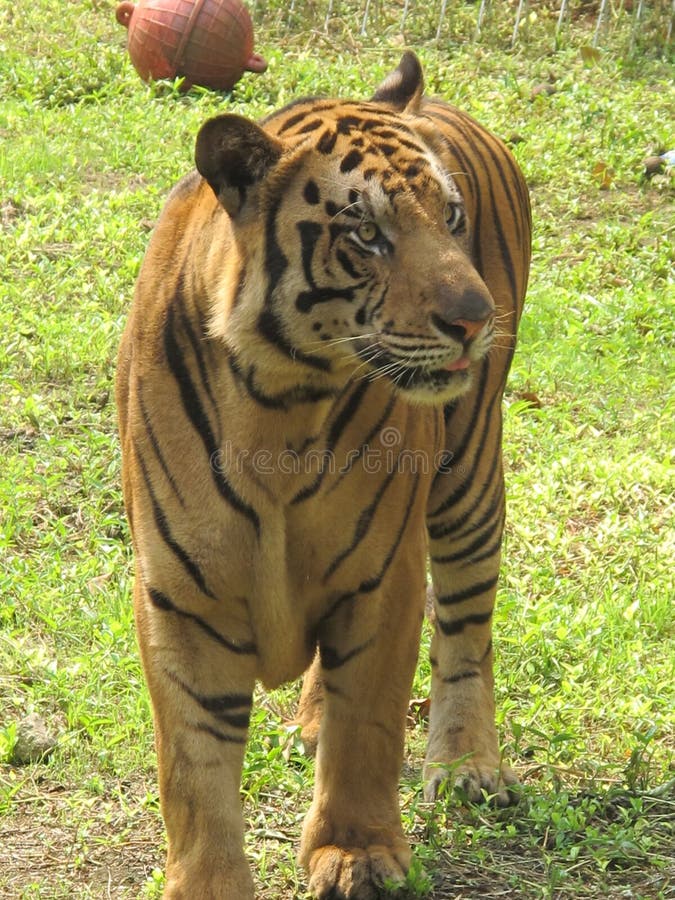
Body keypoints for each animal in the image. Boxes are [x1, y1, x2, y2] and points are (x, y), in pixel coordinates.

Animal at [116, 51, 531, 899]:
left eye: (449, 217)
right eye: (366, 233)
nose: (474, 319)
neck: (280, 401)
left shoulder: (383, 573)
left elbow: (366, 724)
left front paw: (357, 851)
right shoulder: (179, 592)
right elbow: (193, 766)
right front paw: (208, 883)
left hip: (469, 479)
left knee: (466, 627)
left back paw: (467, 765)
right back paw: (310, 721)